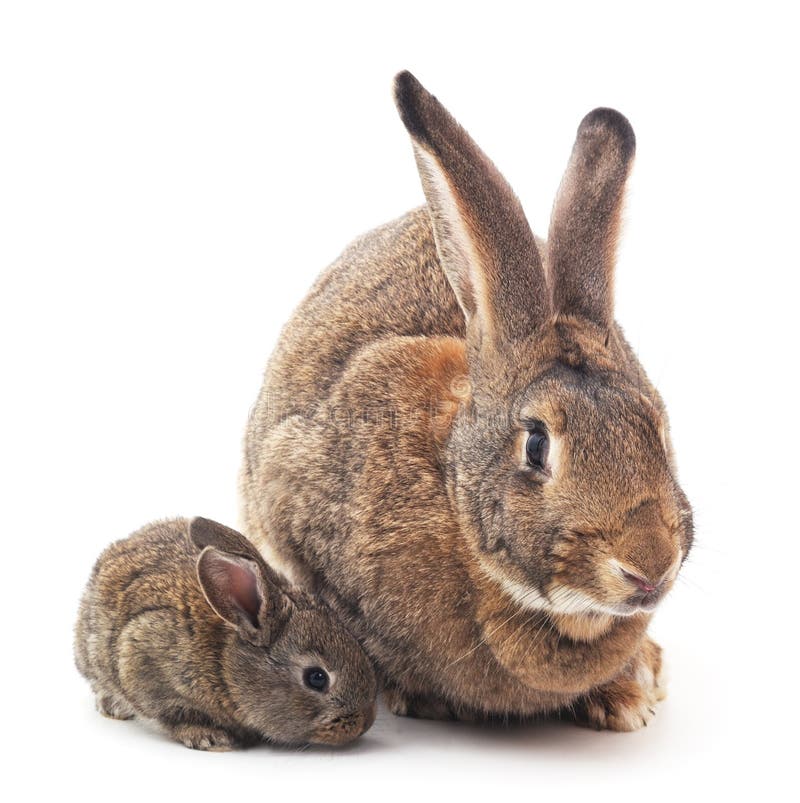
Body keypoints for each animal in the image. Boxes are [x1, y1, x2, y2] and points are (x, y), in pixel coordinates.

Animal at [74, 517, 377, 750]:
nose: (365, 722)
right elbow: (173, 716)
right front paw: (209, 738)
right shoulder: (144, 658)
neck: (224, 663)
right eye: (316, 678)